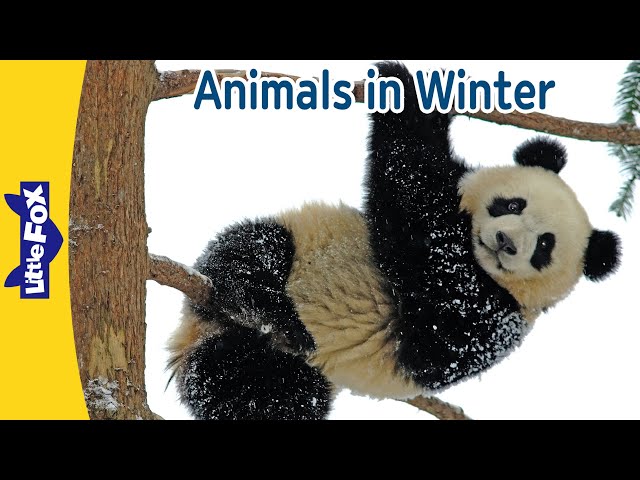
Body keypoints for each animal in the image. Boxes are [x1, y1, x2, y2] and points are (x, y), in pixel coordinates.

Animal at [166, 61, 621, 420]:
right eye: (511, 204)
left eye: (545, 245)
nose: (506, 242)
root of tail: (197, 336)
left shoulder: (488, 319)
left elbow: (420, 226)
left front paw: (405, 89)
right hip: (291, 244)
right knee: (253, 250)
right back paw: (263, 304)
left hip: (281, 369)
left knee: (263, 392)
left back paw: (264, 324)